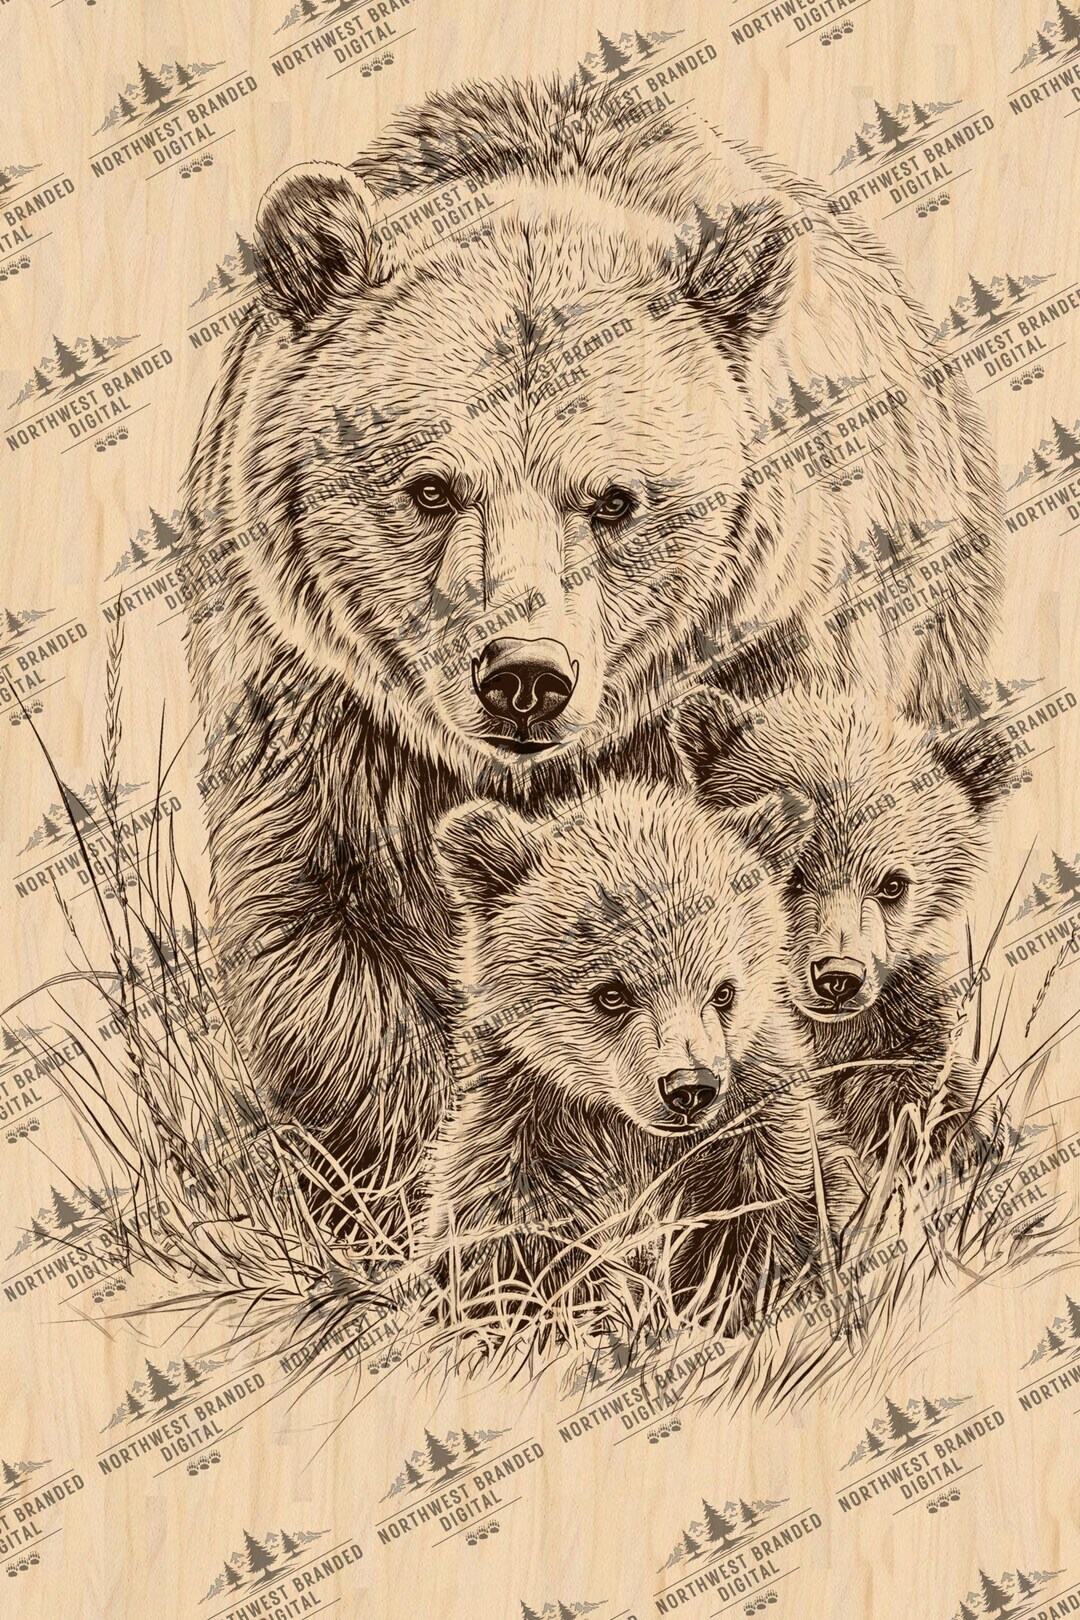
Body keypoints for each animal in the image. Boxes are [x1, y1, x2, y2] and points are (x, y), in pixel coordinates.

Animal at [422, 780, 849, 1334]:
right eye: (611, 993)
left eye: (723, 992)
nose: (690, 1086)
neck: (634, 1140)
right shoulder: (522, 1138)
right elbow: (511, 1253)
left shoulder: (757, 1130)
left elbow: (766, 1227)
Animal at [671, 684, 1011, 1172]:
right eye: (793, 875)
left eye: (893, 884)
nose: (838, 978)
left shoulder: (902, 1033)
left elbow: (936, 1098)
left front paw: (962, 1144)